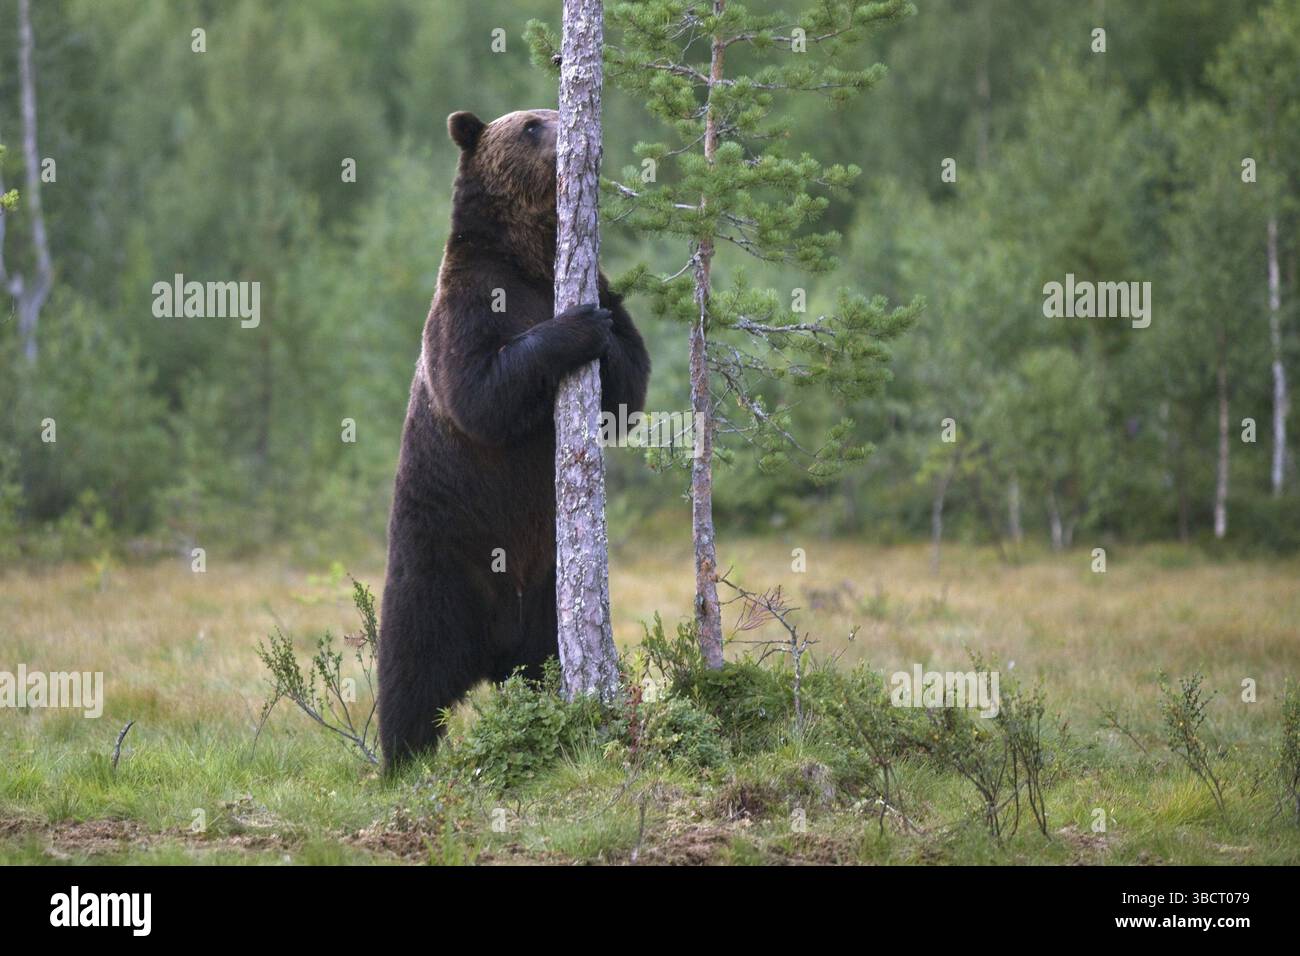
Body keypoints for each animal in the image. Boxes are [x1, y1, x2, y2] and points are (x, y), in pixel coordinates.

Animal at [377, 108, 651, 770]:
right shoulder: (468, 302)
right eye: (530, 125)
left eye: (550, 114)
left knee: (547, 658)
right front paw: (578, 326)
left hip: (550, 589)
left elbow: (628, 390)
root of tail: (493, 650)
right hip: (440, 562)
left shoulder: (599, 283)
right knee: (410, 666)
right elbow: (478, 390)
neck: (530, 259)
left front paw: (606, 333)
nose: (575, 136)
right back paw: (402, 756)